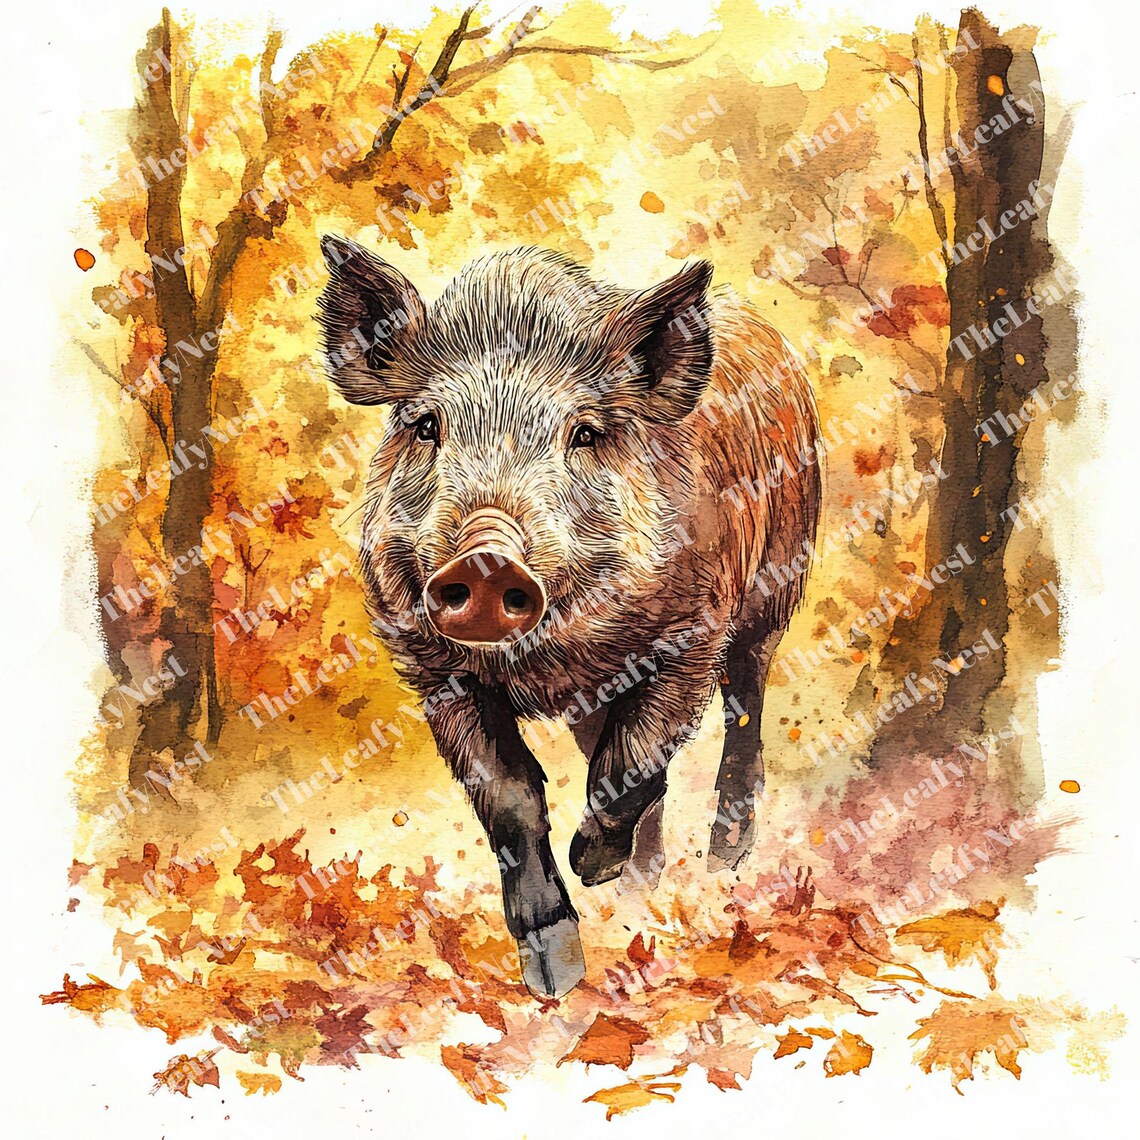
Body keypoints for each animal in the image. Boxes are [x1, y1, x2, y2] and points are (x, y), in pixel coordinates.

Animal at [317, 236, 821, 998]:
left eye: (583, 433)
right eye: (426, 425)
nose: (487, 559)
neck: (548, 664)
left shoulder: (692, 635)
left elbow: (636, 759)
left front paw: (591, 866)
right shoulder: (434, 673)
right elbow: (511, 797)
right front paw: (554, 976)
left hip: (775, 589)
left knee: (744, 715)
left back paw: (720, 864)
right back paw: (639, 889)